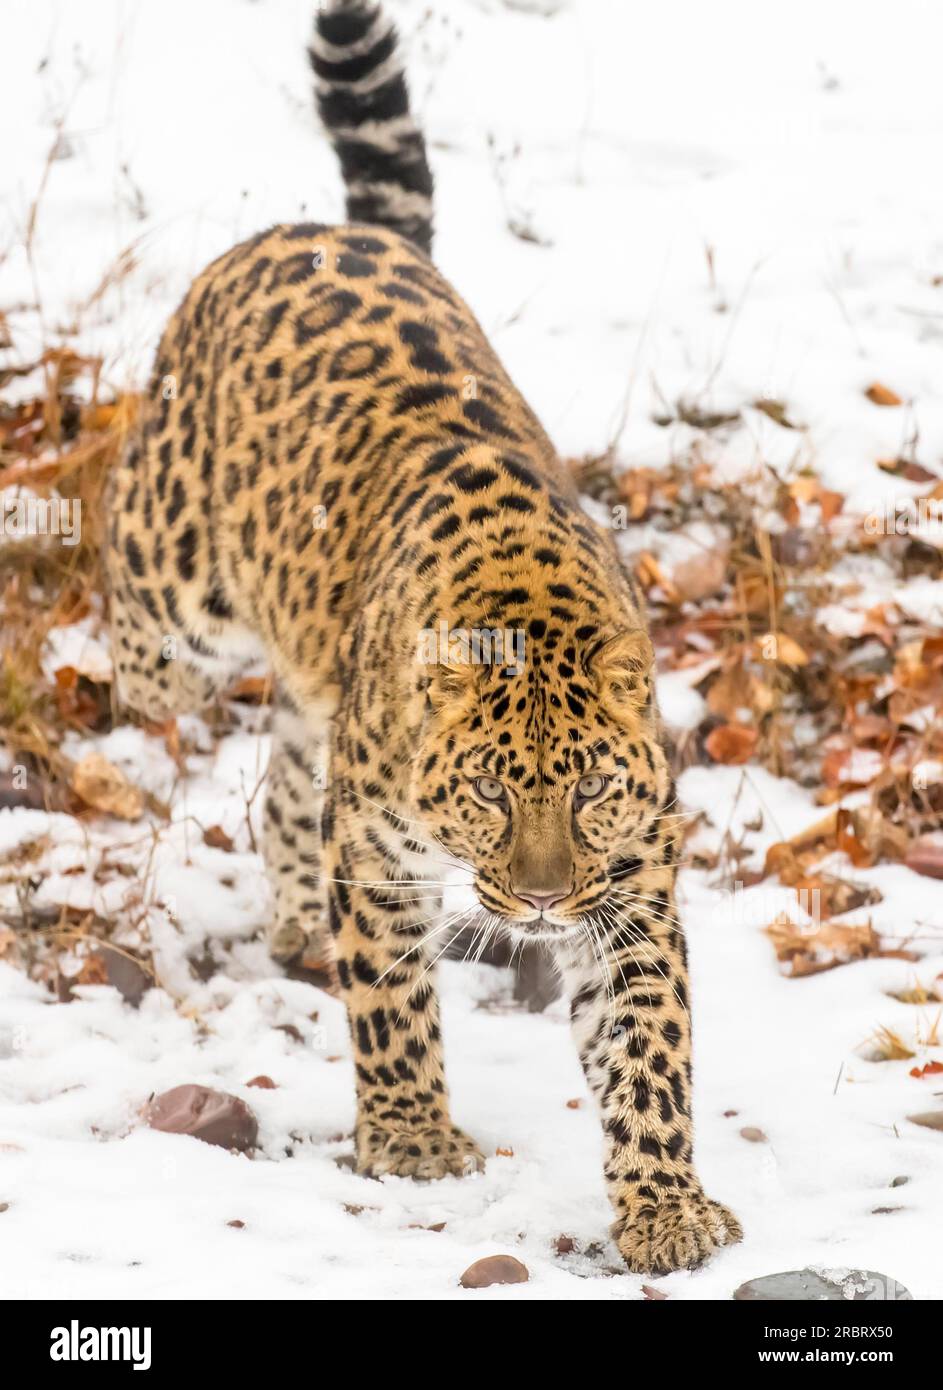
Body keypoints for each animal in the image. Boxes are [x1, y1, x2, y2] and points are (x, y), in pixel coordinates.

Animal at [105, 0, 741, 1276]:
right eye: (491, 792)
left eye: (591, 790)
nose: (541, 904)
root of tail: (319, 230)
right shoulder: (381, 853)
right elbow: (392, 998)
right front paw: (410, 1139)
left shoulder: (632, 885)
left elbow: (648, 1047)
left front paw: (665, 1206)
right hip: (176, 583)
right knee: (130, 597)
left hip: (315, 689)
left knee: (290, 769)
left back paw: (293, 913)